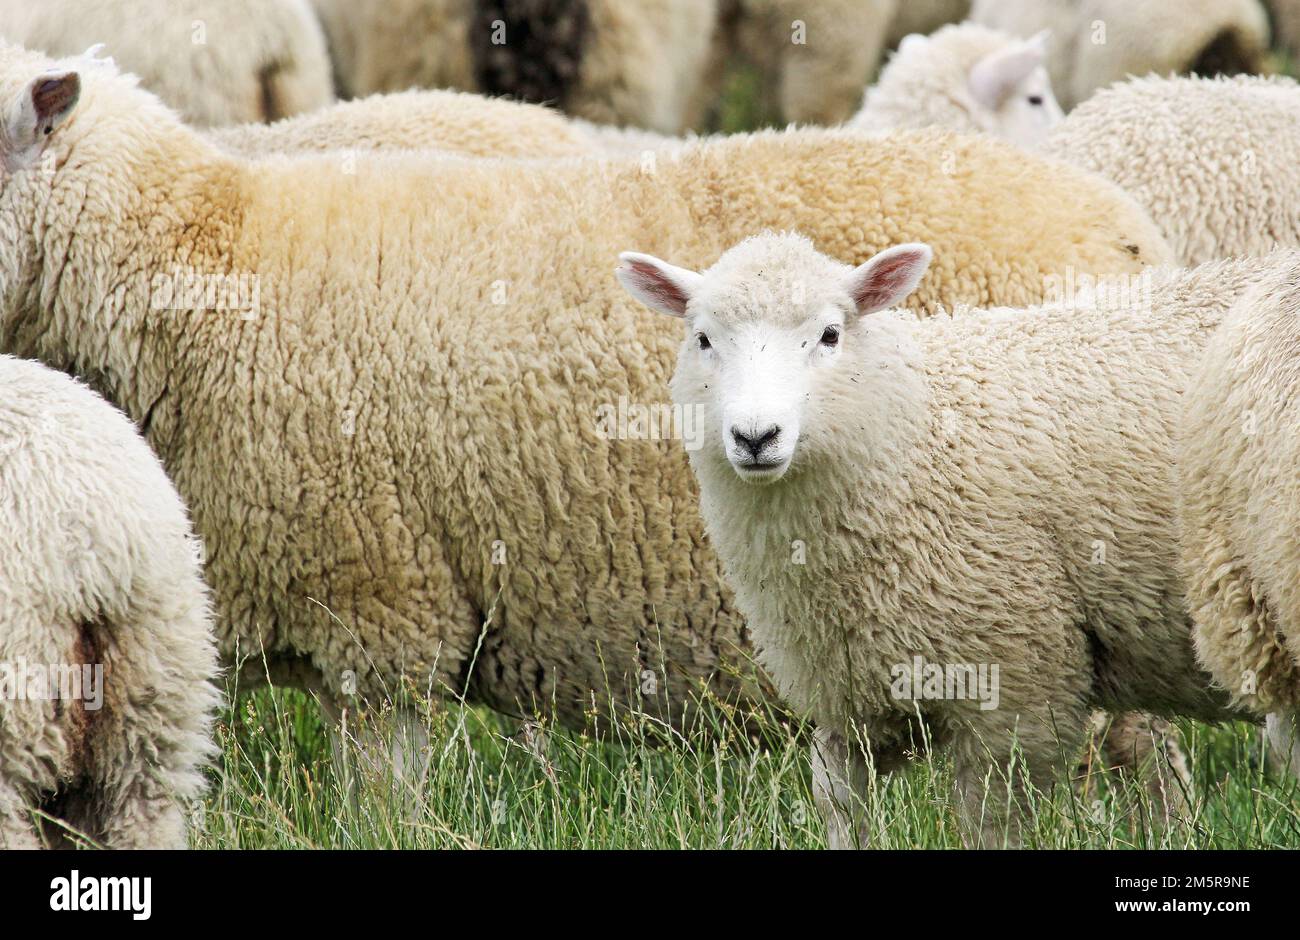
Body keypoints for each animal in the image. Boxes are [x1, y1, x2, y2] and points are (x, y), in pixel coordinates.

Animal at [618, 232, 1273, 845]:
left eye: (830, 334)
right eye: (704, 339)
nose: (756, 437)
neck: (918, 434)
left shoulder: (1017, 685)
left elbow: (992, 822)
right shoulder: (849, 690)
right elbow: (837, 803)